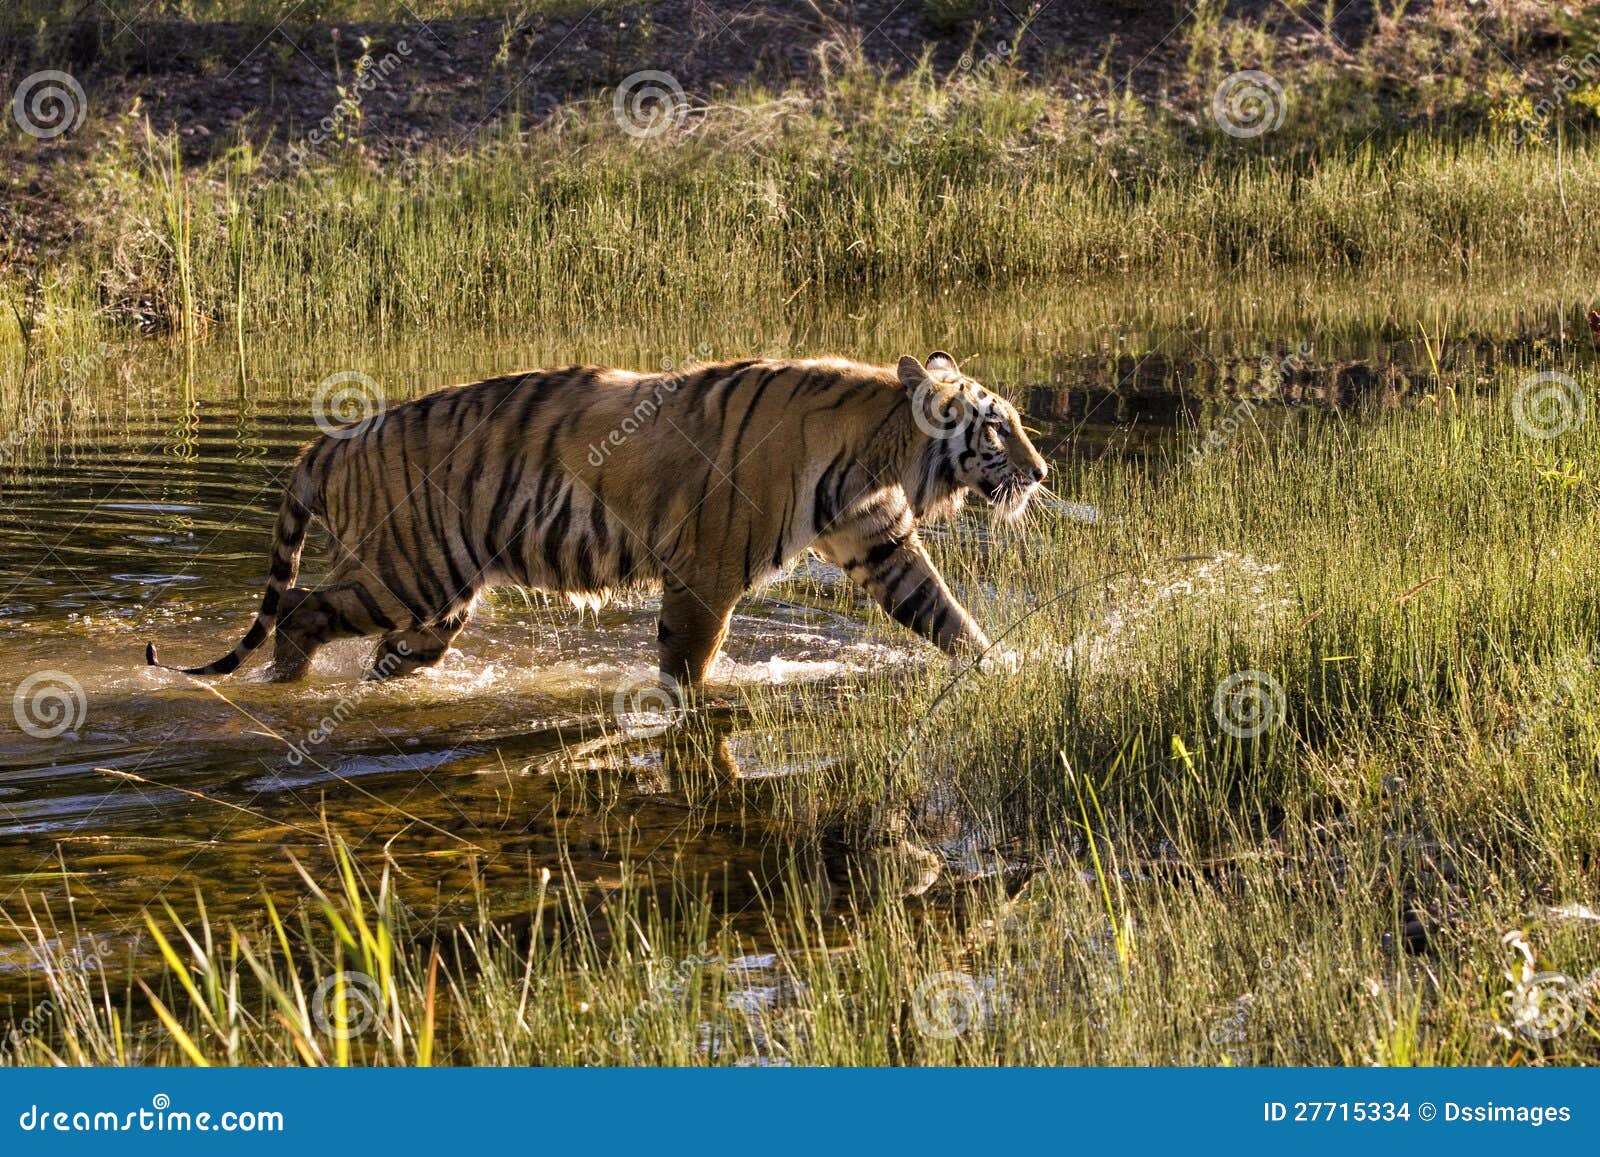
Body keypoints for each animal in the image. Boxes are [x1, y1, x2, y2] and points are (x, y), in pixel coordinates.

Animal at [145, 352, 1048, 688]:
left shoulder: (881, 544)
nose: (1043, 475)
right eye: (997, 427)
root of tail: (330, 442)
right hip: (406, 573)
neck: (879, 449)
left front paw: (1009, 667)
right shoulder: (705, 576)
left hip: (437, 602)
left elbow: (949, 617)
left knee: (383, 650)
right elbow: (686, 665)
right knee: (300, 610)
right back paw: (286, 687)